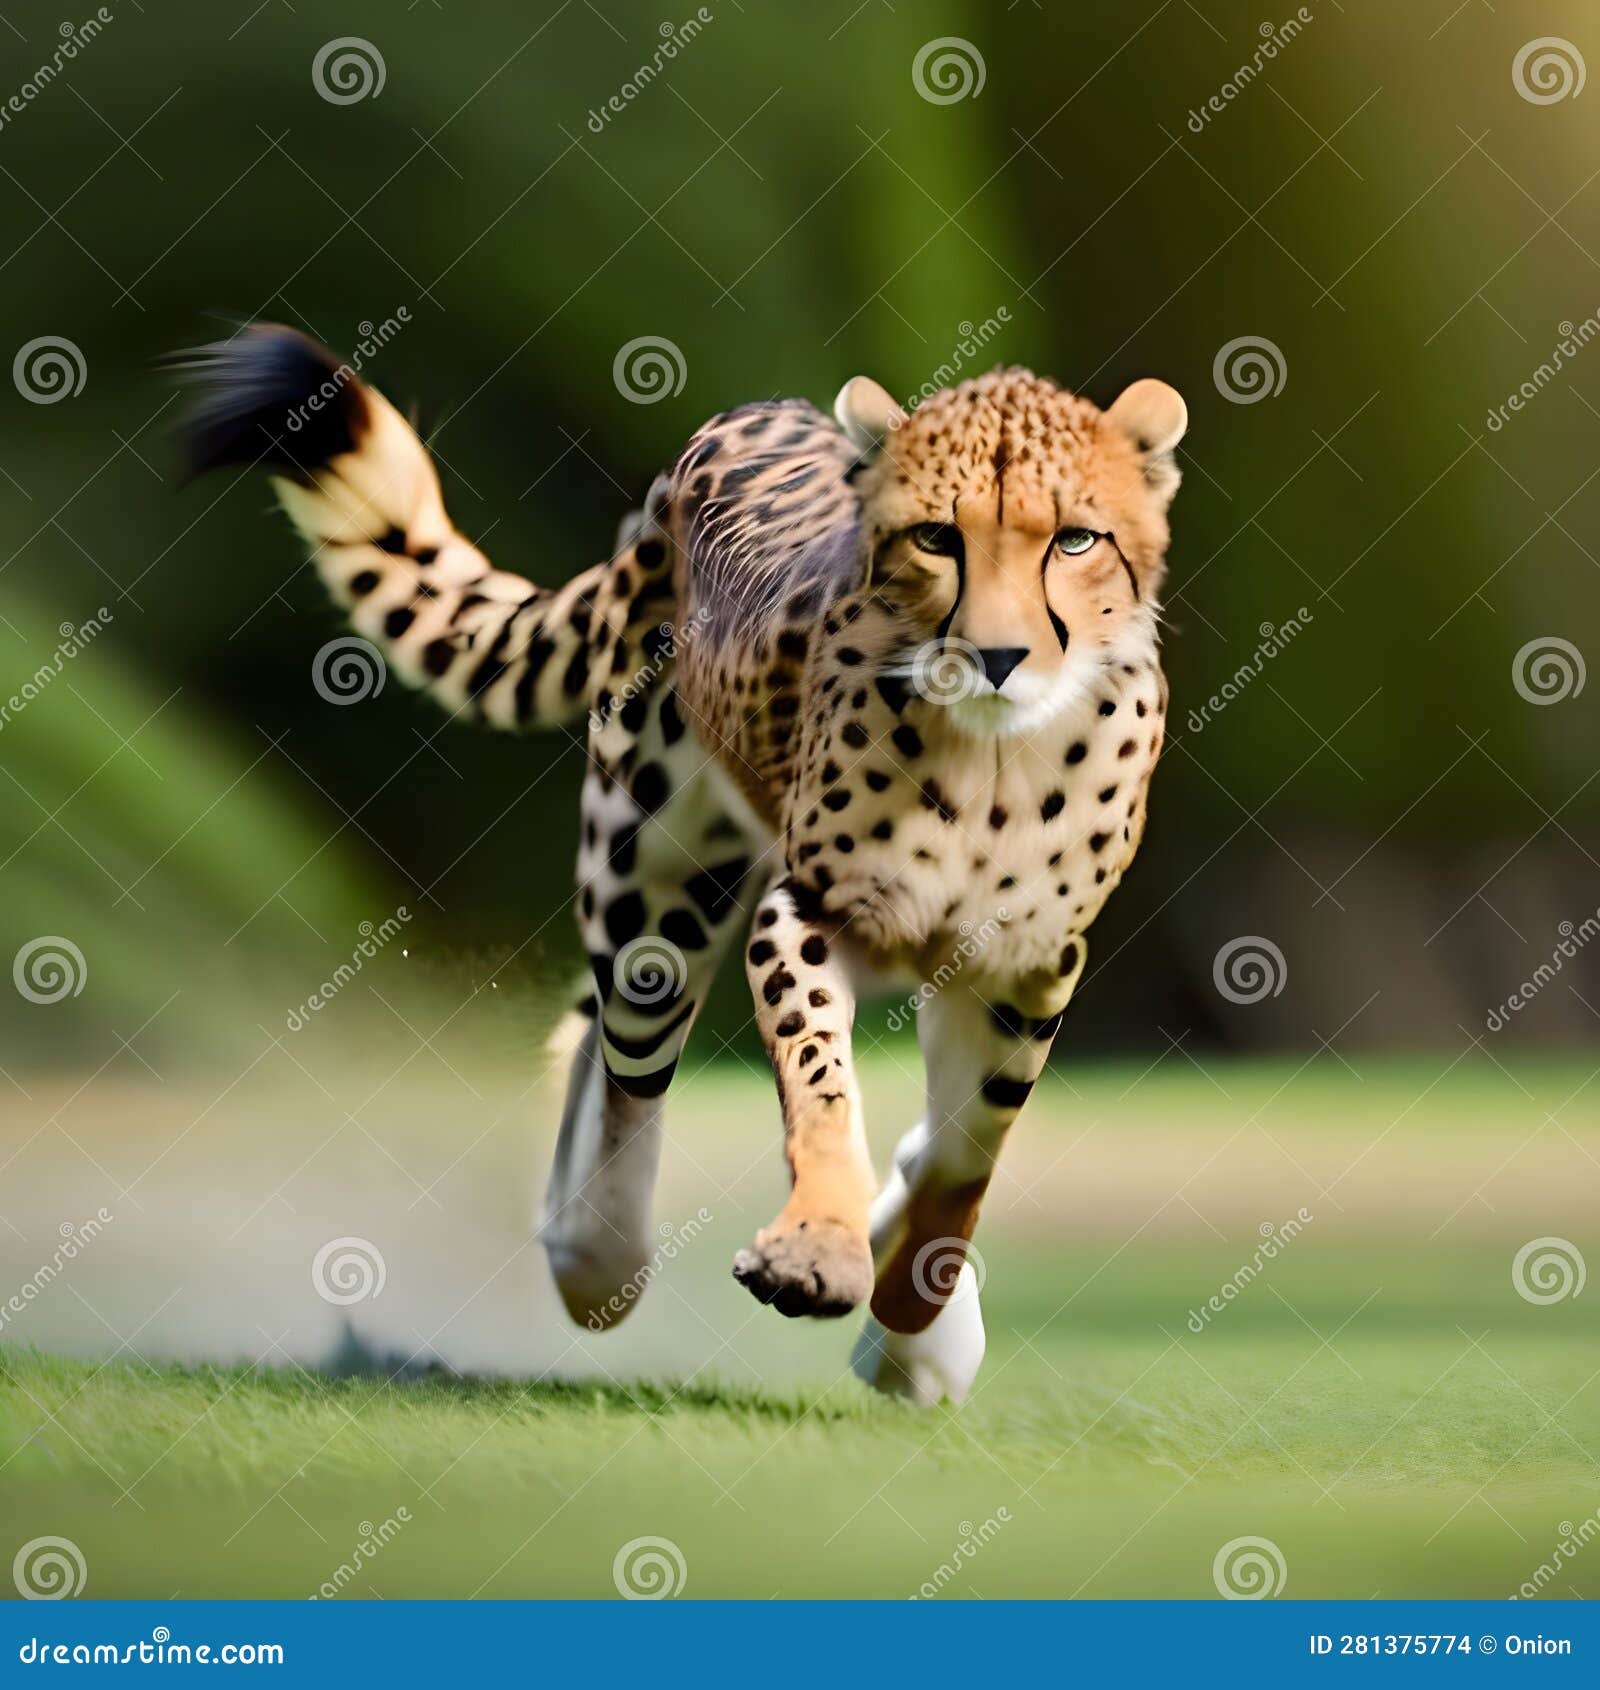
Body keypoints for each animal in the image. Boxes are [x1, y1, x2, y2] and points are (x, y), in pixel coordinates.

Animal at [176, 325, 1186, 1404]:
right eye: (934, 539)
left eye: (1073, 541)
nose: (996, 656)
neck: (992, 757)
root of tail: (716, 438)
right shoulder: (808, 913)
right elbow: (824, 1093)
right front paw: (821, 1253)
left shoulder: (1025, 966)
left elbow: (965, 1158)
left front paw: (910, 1314)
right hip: (653, 898)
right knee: (619, 1057)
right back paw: (592, 1257)